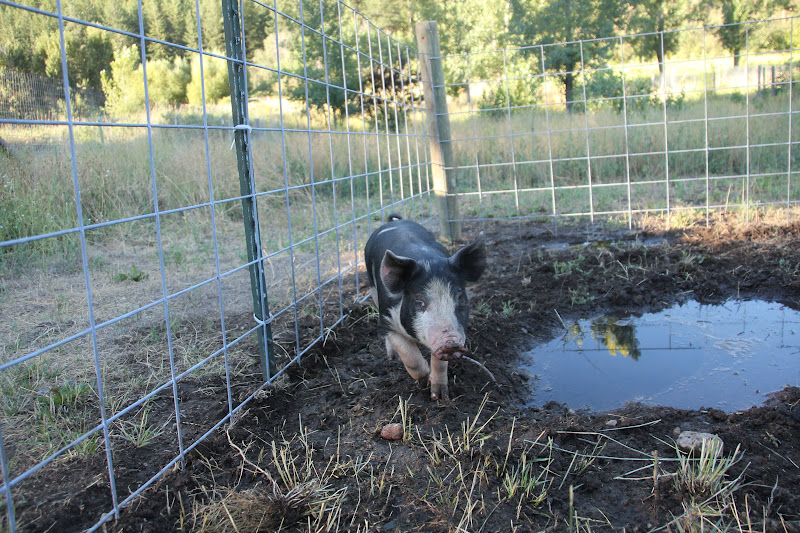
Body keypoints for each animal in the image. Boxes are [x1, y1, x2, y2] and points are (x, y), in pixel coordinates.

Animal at [365, 215, 487, 400]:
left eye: (459, 298)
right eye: (419, 301)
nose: (450, 343)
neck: (428, 260)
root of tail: (395, 221)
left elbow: (439, 363)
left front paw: (439, 396)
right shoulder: (387, 318)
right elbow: (410, 357)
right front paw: (425, 376)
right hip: (373, 290)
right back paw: (392, 357)